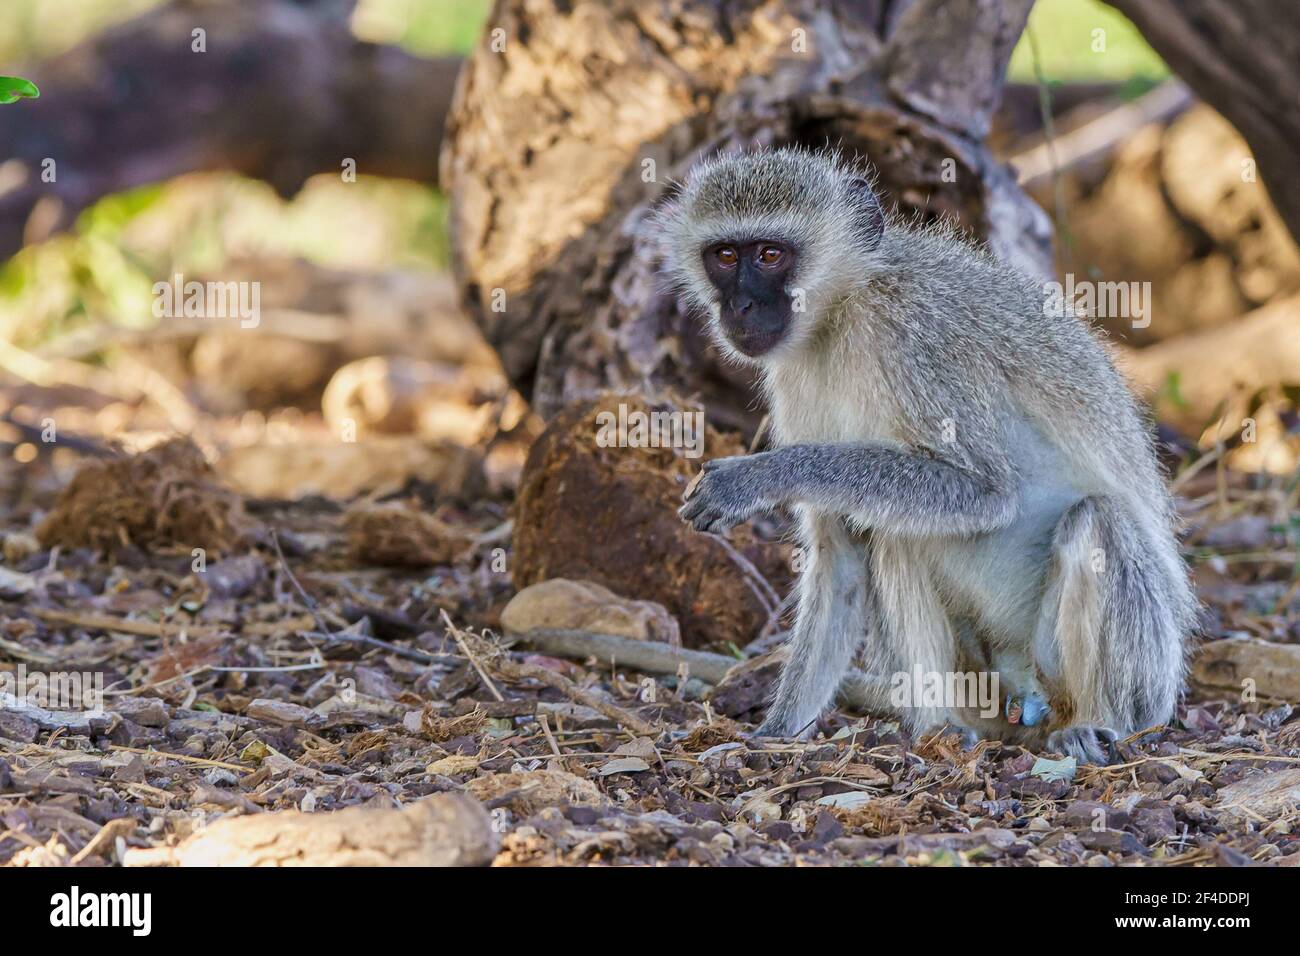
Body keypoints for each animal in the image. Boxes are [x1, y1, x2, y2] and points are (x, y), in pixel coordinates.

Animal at [655, 147, 1197, 764]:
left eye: (771, 255)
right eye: (724, 256)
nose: (741, 305)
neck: (840, 313)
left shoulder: (913, 335)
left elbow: (986, 492)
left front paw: (758, 477)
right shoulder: (792, 379)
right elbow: (839, 555)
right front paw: (776, 733)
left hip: (1127, 680)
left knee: (1095, 521)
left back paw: (1096, 725)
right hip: (981, 681)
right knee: (895, 535)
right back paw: (942, 730)